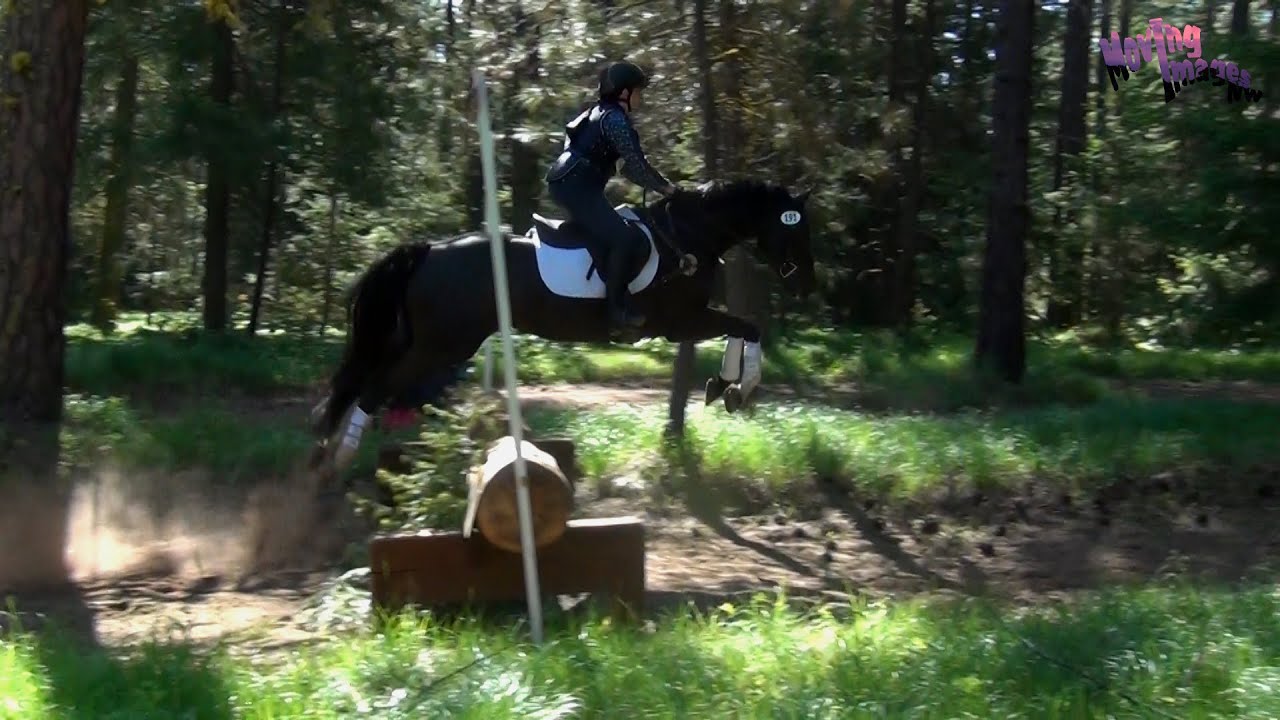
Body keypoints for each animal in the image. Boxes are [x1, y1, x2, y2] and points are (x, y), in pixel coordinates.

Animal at [309, 178, 816, 472]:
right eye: (792, 228)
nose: (806, 284)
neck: (688, 236)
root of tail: (431, 251)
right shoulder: (680, 321)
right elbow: (749, 327)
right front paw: (739, 386)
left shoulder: (688, 322)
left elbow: (743, 328)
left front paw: (724, 385)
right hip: (441, 346)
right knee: (375, 386)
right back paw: (342, 451)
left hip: (427, 342)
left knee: (366, 379)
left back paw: (331, 440)